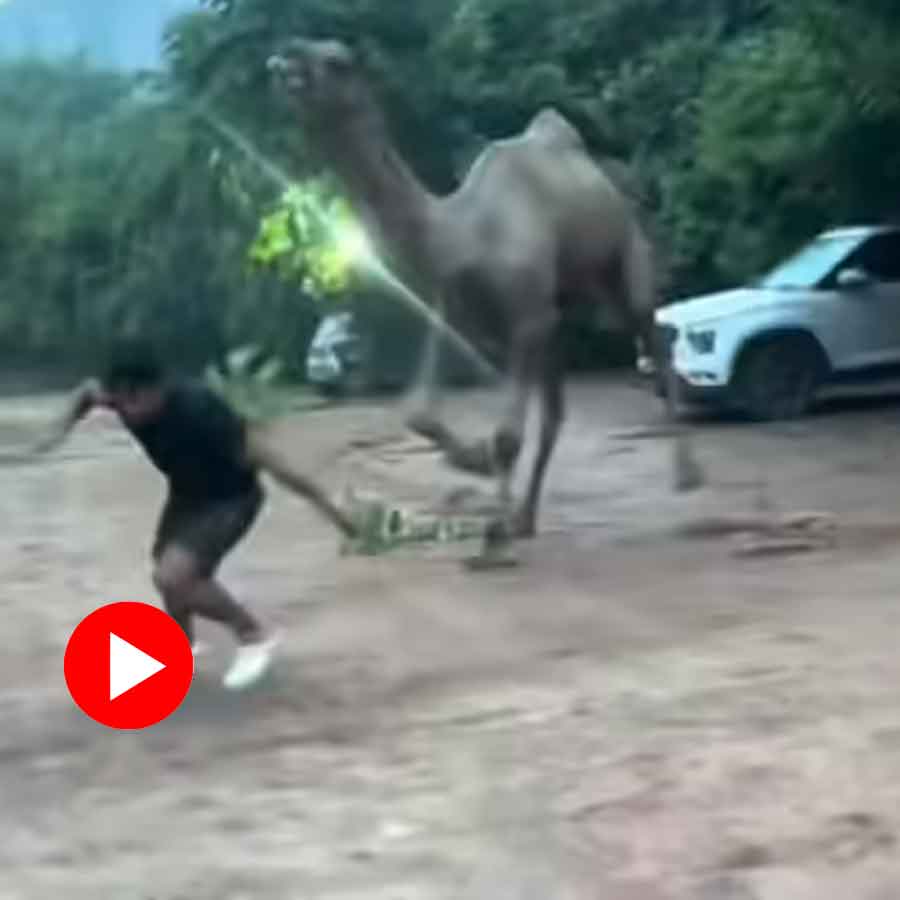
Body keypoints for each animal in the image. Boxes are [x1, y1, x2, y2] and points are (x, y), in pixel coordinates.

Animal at [266, 38, 702, 557]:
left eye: (338, 61)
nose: (286, 59)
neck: (464, 234)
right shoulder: (459, 311)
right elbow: (421, 414)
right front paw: (475, 466)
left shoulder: (527, 317)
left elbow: (508, 434)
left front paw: (493, 531)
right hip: (558, 316)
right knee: (556, 411)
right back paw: (527, 519)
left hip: (624, 259)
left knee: (652, 333)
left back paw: (687, 474)